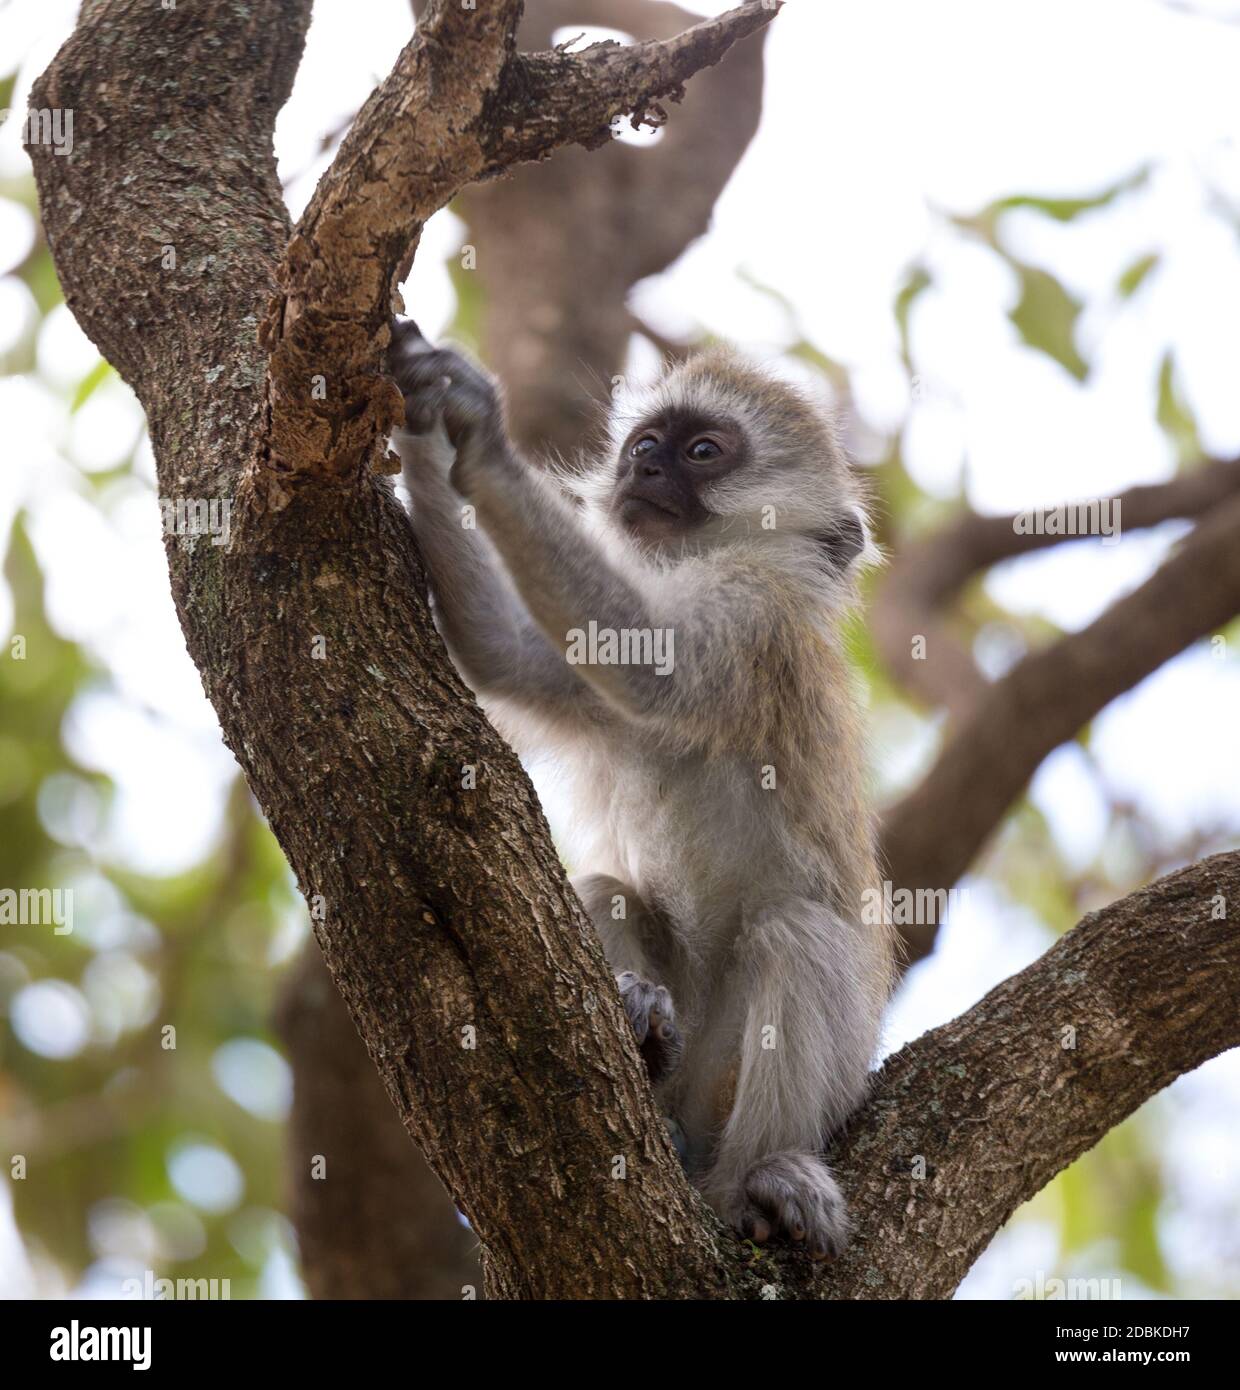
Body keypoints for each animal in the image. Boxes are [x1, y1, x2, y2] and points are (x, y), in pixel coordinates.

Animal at [386, 318, 894, 1258]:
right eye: (645, 444)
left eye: (703, 451)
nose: (643, 468)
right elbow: (507, 652)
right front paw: (421, 418)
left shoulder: (755, 619)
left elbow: (648, 666)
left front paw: (482, 434)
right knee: (608, 890)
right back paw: (642, 1025)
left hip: (802, 1077)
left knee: (797, 935)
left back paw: (755, 1187)